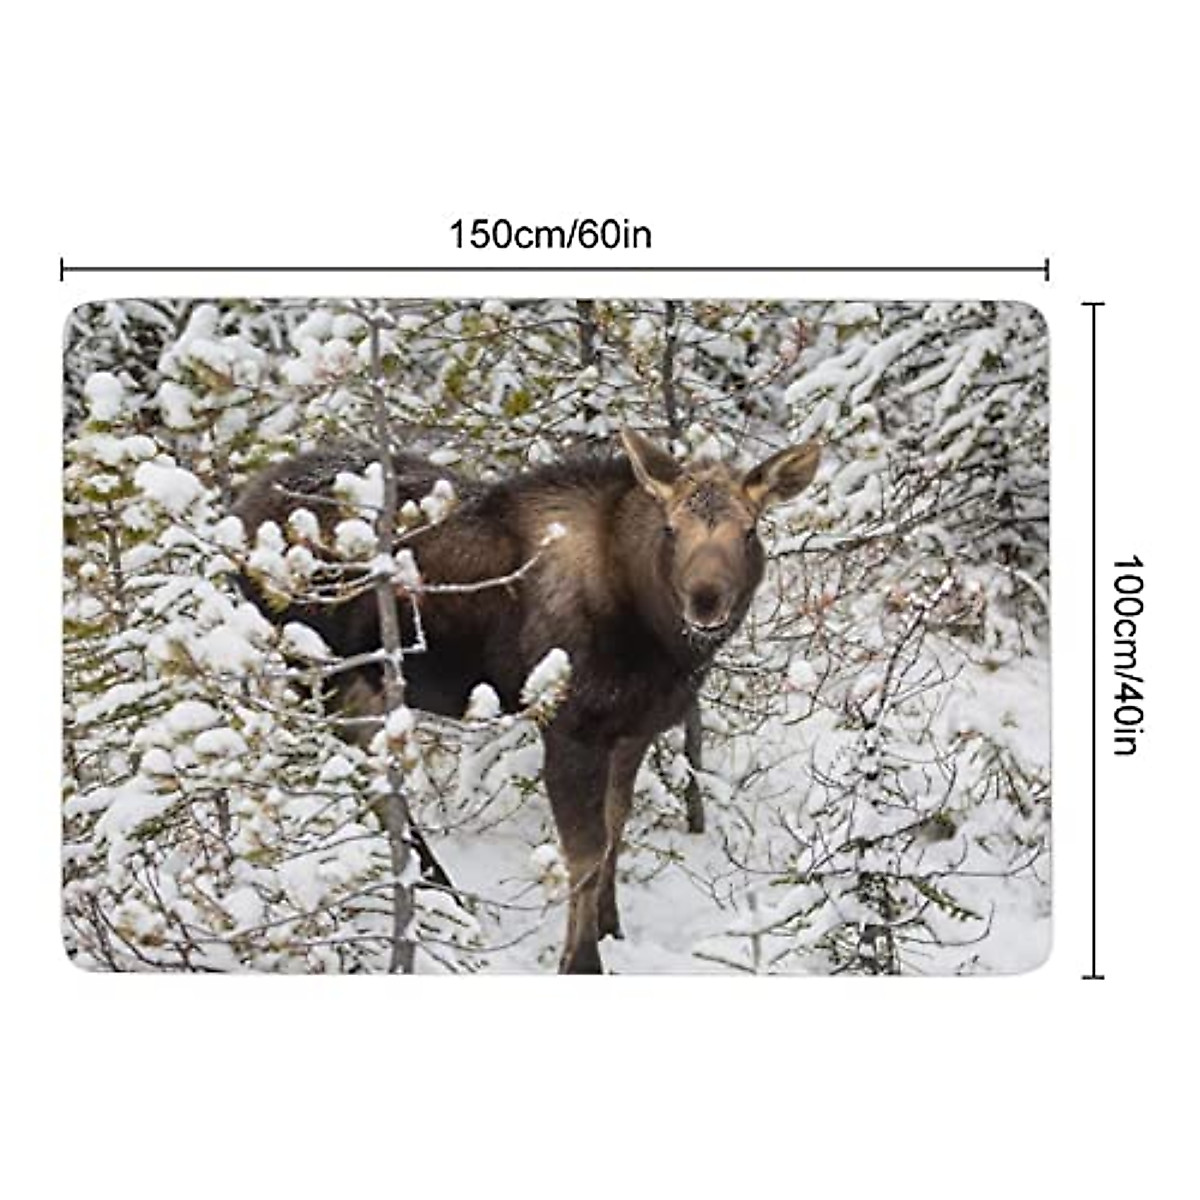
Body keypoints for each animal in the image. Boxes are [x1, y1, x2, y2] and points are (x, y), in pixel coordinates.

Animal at [231, 429, 822, 973]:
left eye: (750, 530)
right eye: (671, 528)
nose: (705, 602)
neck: (658, 640)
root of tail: (237, 510)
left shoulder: (633, 728)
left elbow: (616, 829)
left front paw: (610, 927)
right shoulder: (571, 725)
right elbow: (583, 852)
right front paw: (581, 961)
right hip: (322, 670)